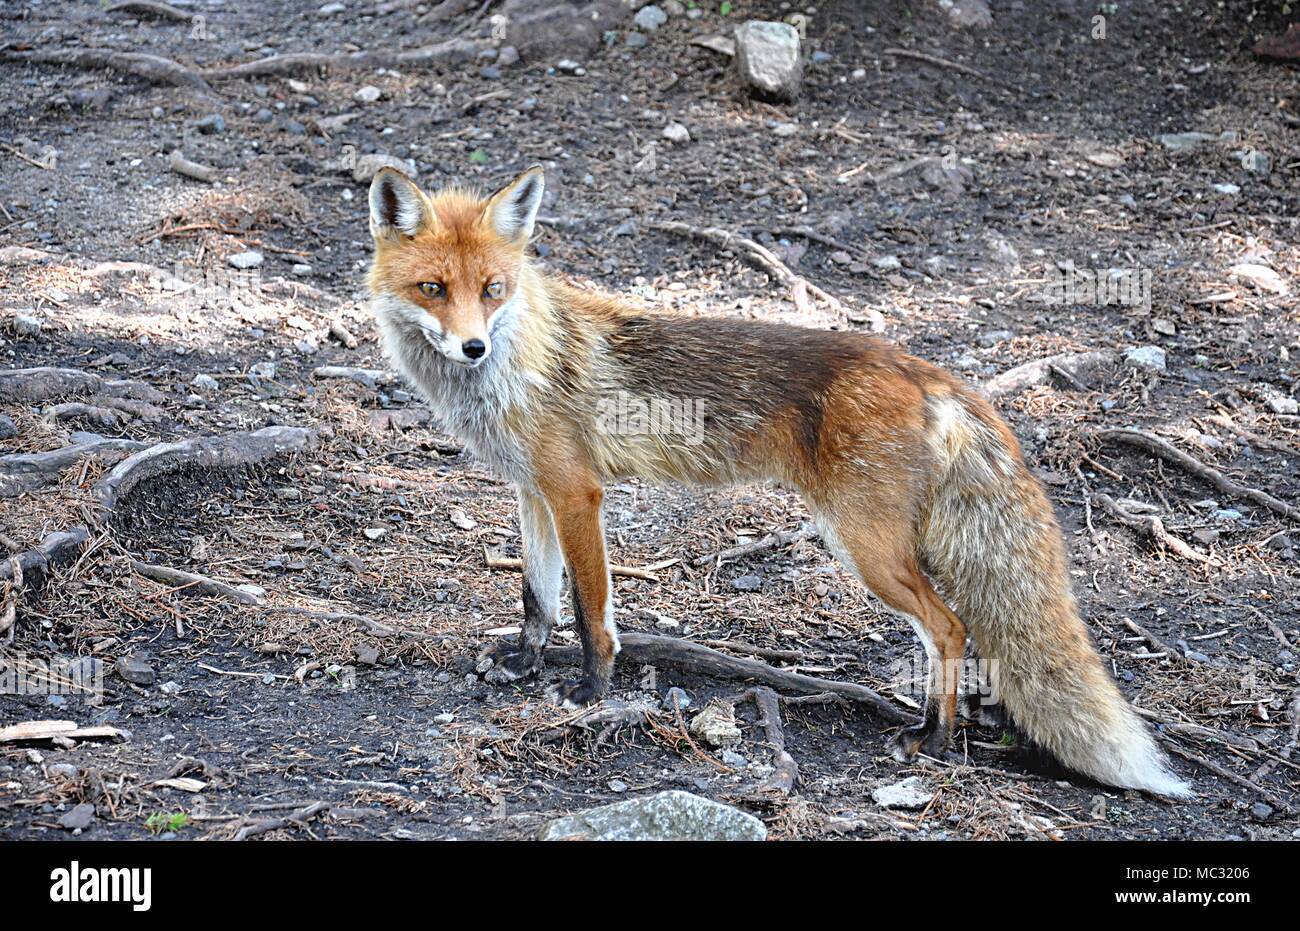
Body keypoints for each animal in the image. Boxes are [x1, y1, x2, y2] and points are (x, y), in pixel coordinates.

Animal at [365, 164, 1190, 798]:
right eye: (434, 288)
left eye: (493, 288)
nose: (472, 347)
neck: (518, 364)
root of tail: (927, 370)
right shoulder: (531, 491)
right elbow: (536, 598)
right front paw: (524, 666)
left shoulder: (577, 493)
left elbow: (592, 613)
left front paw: (589, 694)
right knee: (949, 628)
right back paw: (934, 726)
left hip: (866, 548)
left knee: (951, 625)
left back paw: (935, 738)